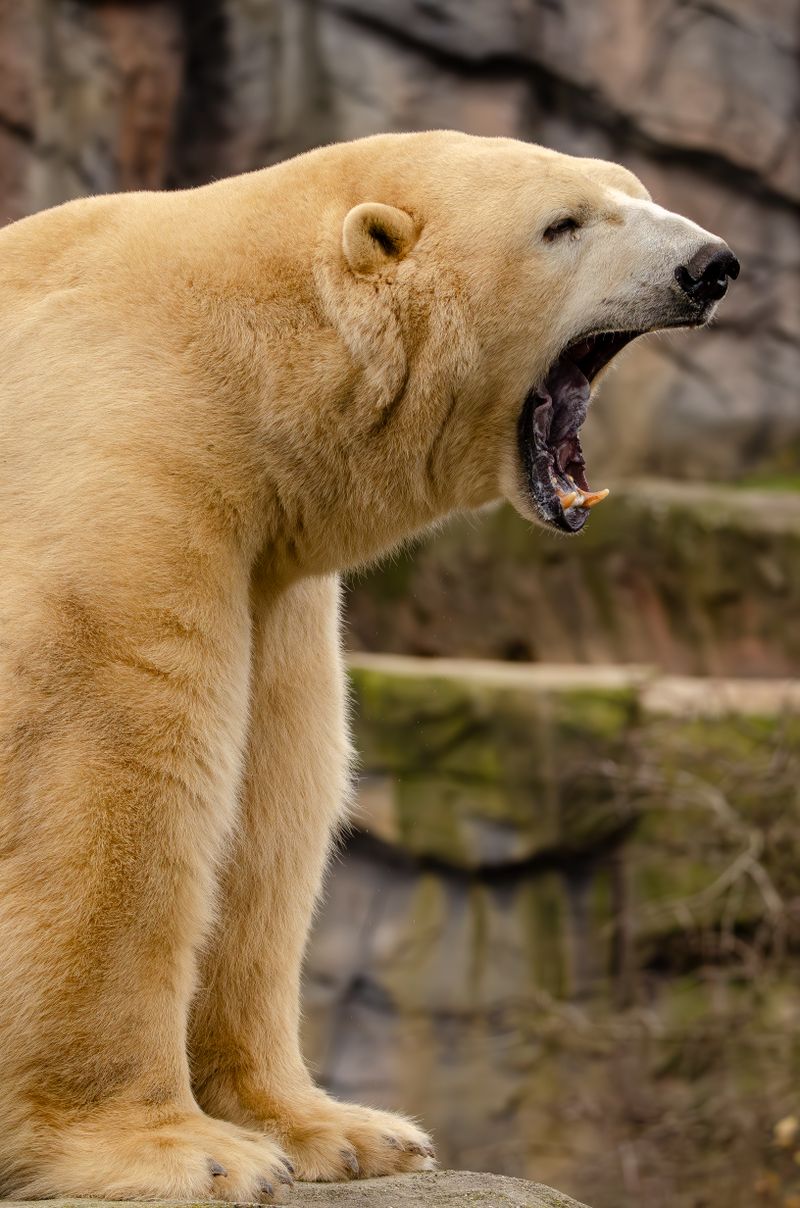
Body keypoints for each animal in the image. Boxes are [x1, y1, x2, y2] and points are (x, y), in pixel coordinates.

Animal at [0, 131, 737, 1201]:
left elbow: (277, 794)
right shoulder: (121, 449)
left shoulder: (270, 560)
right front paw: (176, 1150)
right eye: (562, 223)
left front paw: (339, 1131)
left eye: (636, 190)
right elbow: (106, 762)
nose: (710, 265)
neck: (243, 351)